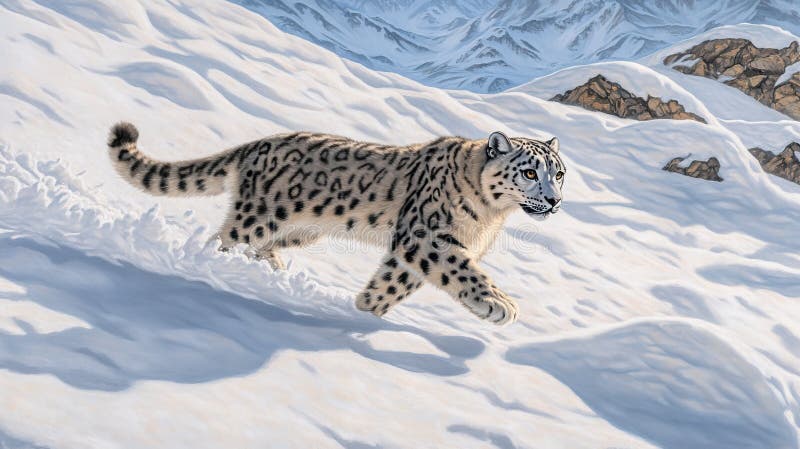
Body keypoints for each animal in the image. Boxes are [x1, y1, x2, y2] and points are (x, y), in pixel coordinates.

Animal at [107, 122, 565, 325]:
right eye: (529, 172)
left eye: (559, 173)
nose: (554, 200)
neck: (492, 215)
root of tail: (256, 144)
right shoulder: (429, 236)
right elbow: (464, 272)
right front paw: (498, 305)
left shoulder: (414, 249)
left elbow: (393, 283)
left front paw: (365, 311)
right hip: (258, 217)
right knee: (225, 239)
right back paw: (209, 268)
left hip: (298, 230)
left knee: (260, 246)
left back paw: (273, 275)